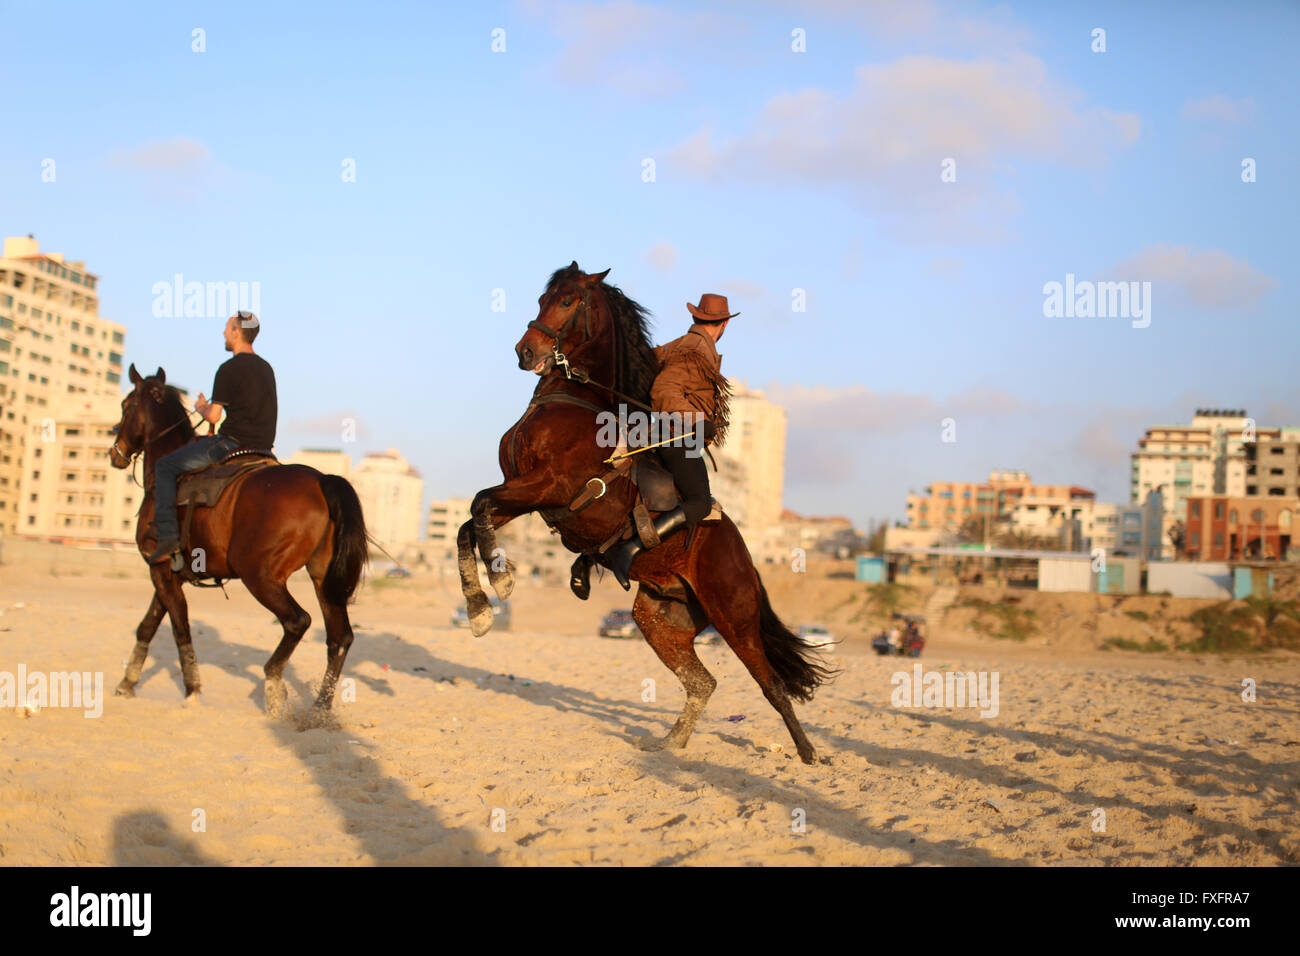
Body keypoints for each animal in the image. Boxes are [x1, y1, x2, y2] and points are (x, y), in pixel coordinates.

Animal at [107, 364, 368, 716]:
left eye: (127, 405)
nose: (115, 452)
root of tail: (321, 480)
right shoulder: (168, 574)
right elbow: (147, 626)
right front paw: (127, 684)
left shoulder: (159, 570)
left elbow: (180, 630)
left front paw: (192, 691)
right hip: (322, 580)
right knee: (340, 638)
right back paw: (318, 711)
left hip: (258, 575)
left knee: (297, 621)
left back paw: (274, 685)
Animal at [457, 263, 834, 763]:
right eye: (543, 299)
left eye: (568, 300)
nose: (526, 351)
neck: (577, 405)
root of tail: (748, 563)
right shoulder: (524, 495)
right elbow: (469, 524)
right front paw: (479, 610)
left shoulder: (548, 487)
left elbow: (478, 504)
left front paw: (501, 582)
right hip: (658, 618)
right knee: (702, 682)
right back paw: (670, 743)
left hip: (735, 621)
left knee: (771, 685)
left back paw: (809, 754)